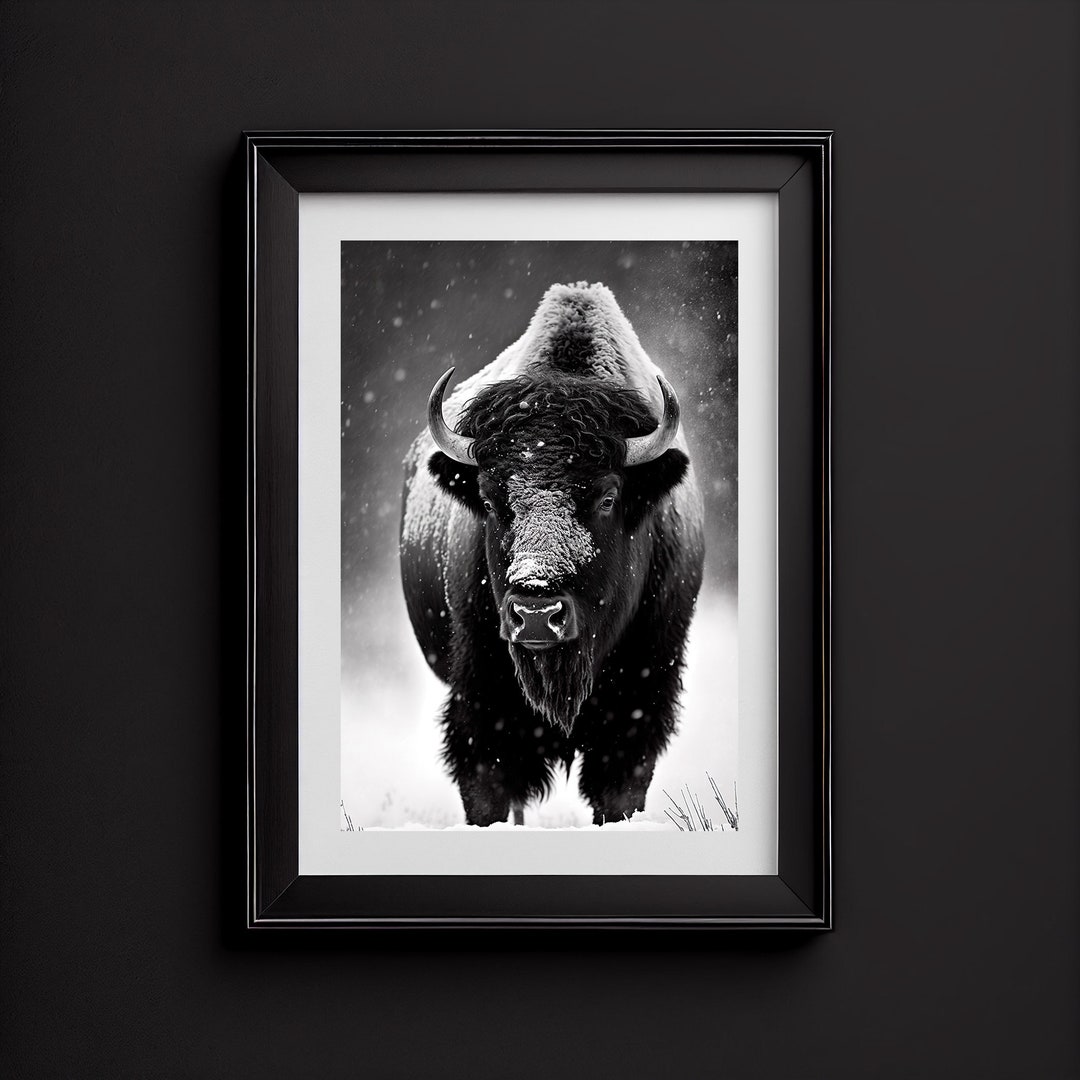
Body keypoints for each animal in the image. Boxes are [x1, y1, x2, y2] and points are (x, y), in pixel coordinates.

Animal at [399, 282, 705, 826]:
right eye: (489, 499)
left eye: (608, 498)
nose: (536, 613)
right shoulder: (482, 707)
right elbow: (488, 787)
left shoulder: (639, 707)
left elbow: (619, 790)